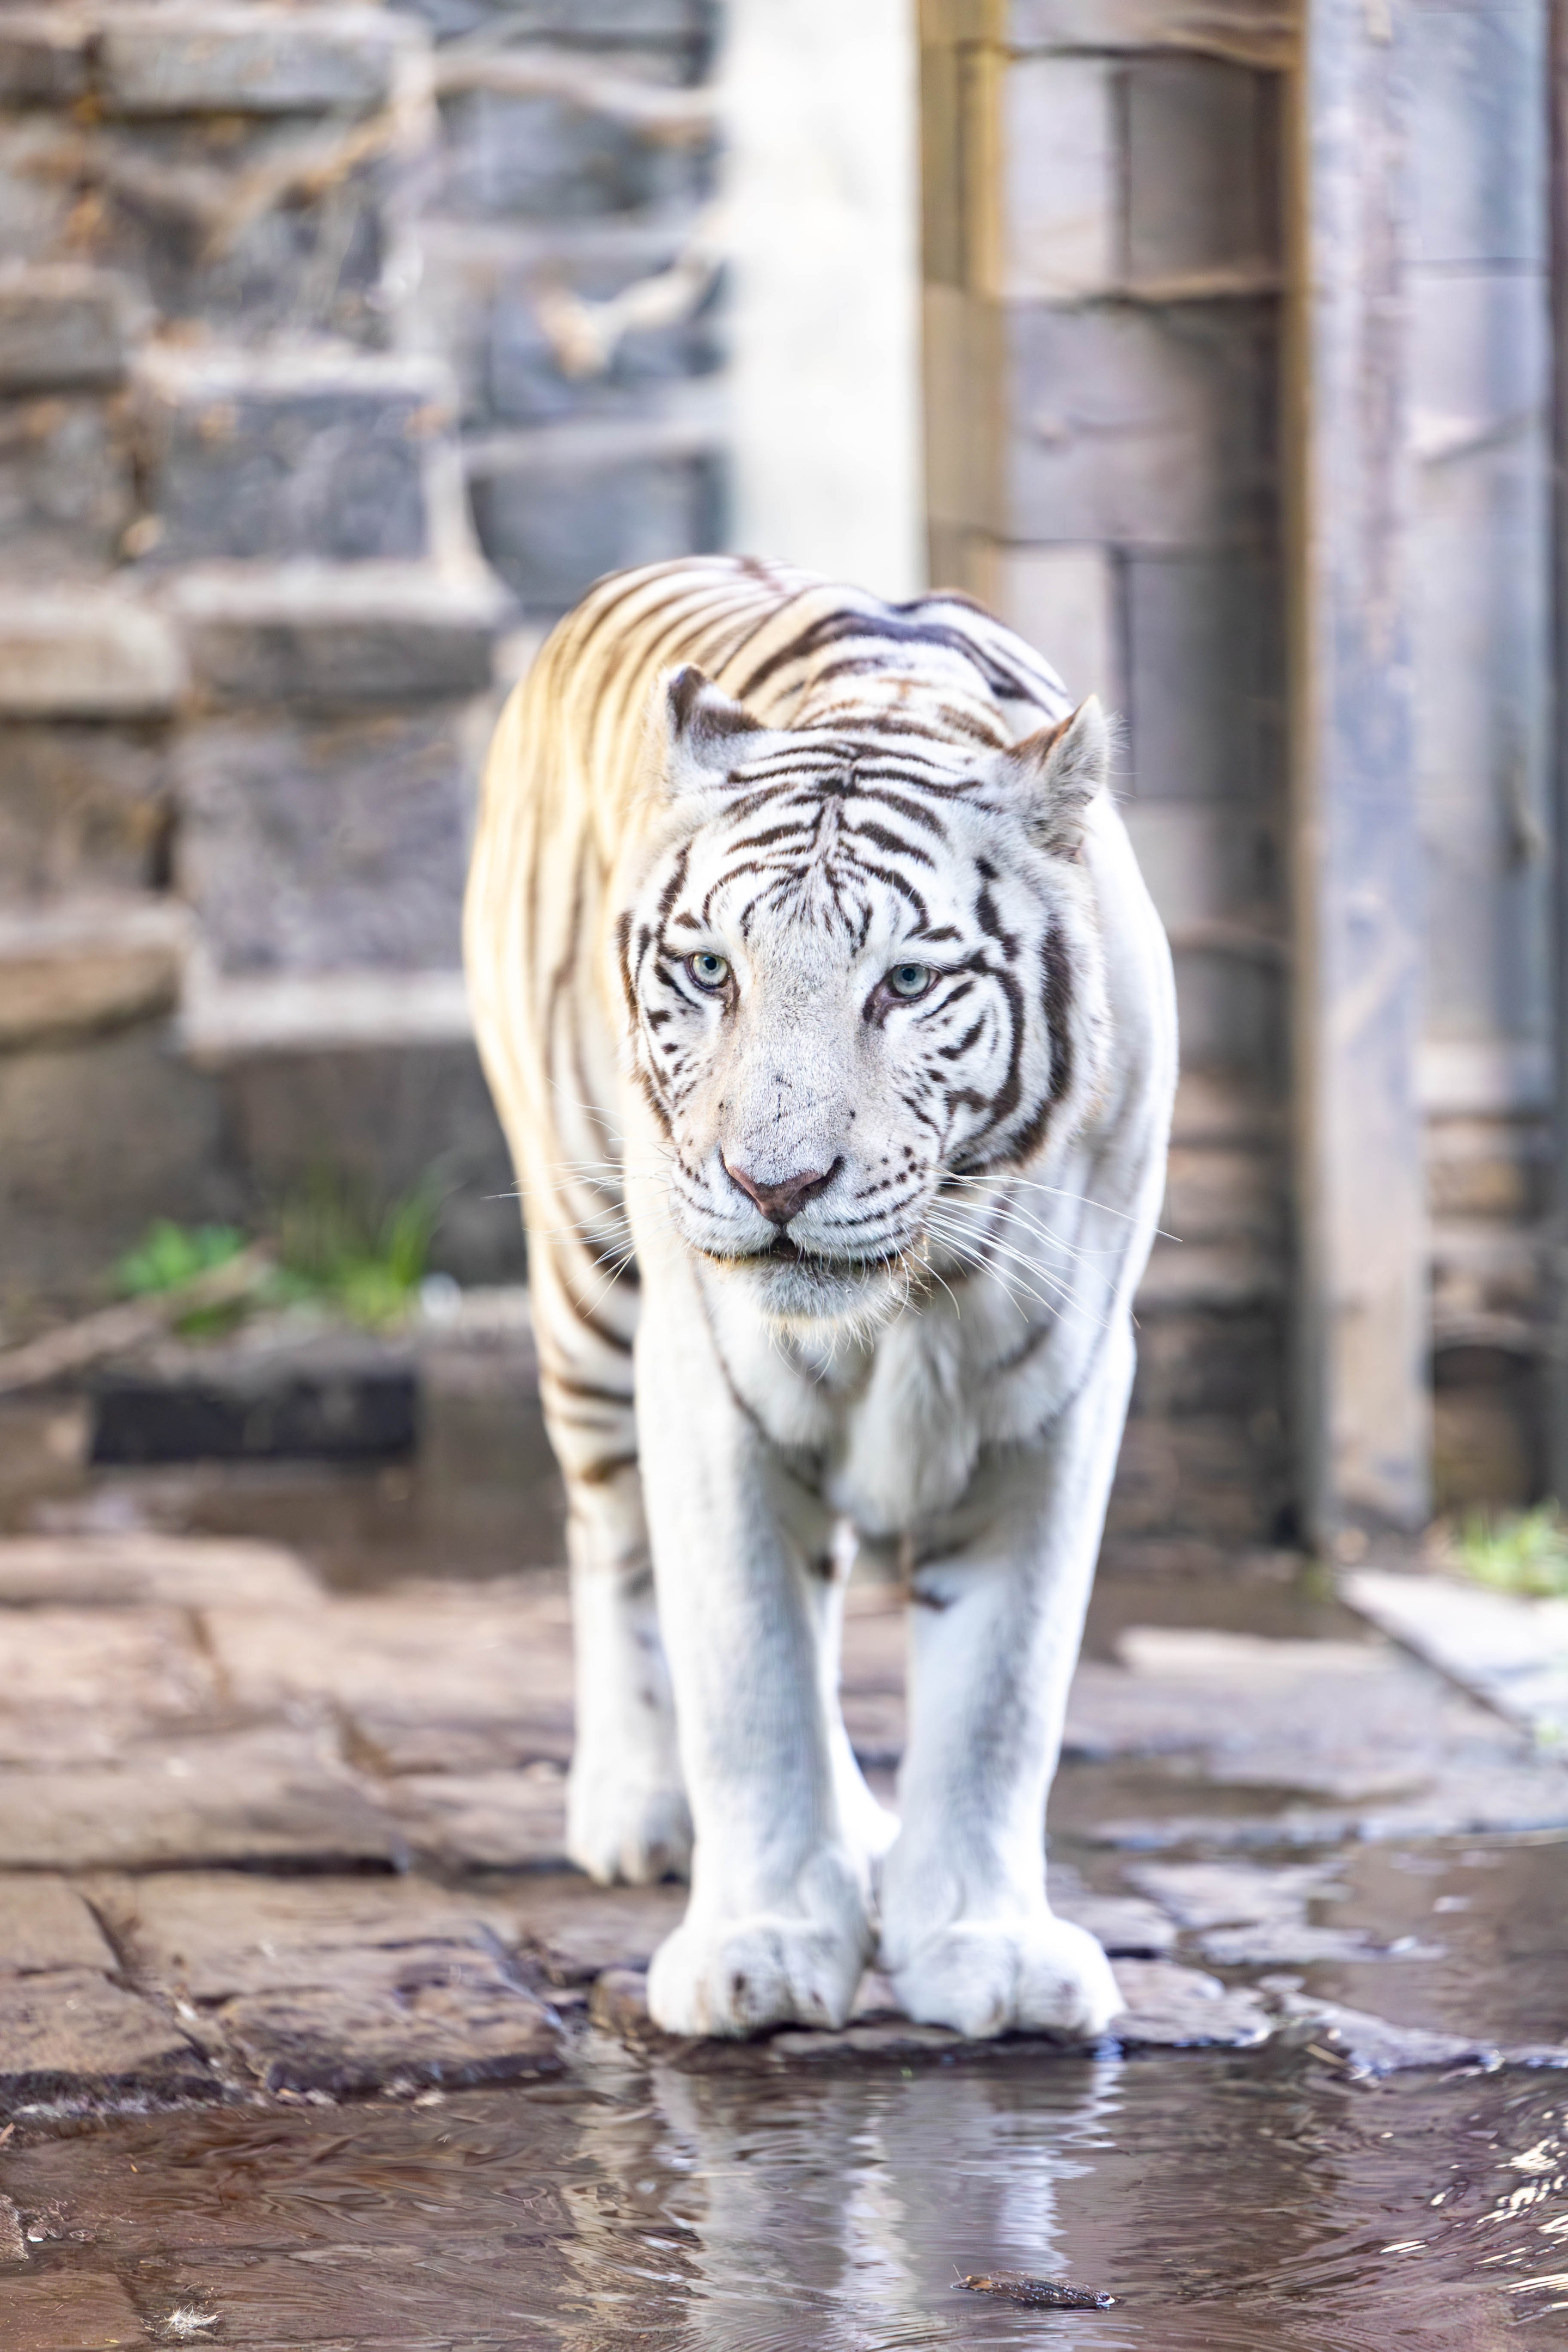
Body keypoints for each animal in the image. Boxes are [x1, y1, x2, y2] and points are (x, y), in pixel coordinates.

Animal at [464, 554, 1176, 2040]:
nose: (773, 1181)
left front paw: (981, 1948)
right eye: (710, 971)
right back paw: (638, 1807)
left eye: (904, 983)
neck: (917, 1295)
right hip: (585, 1273)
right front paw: (760, 1947)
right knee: (611, 1539)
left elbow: (1003, 1691)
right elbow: (747, 1668)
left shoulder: (1064, 1381)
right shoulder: (706, 1380)